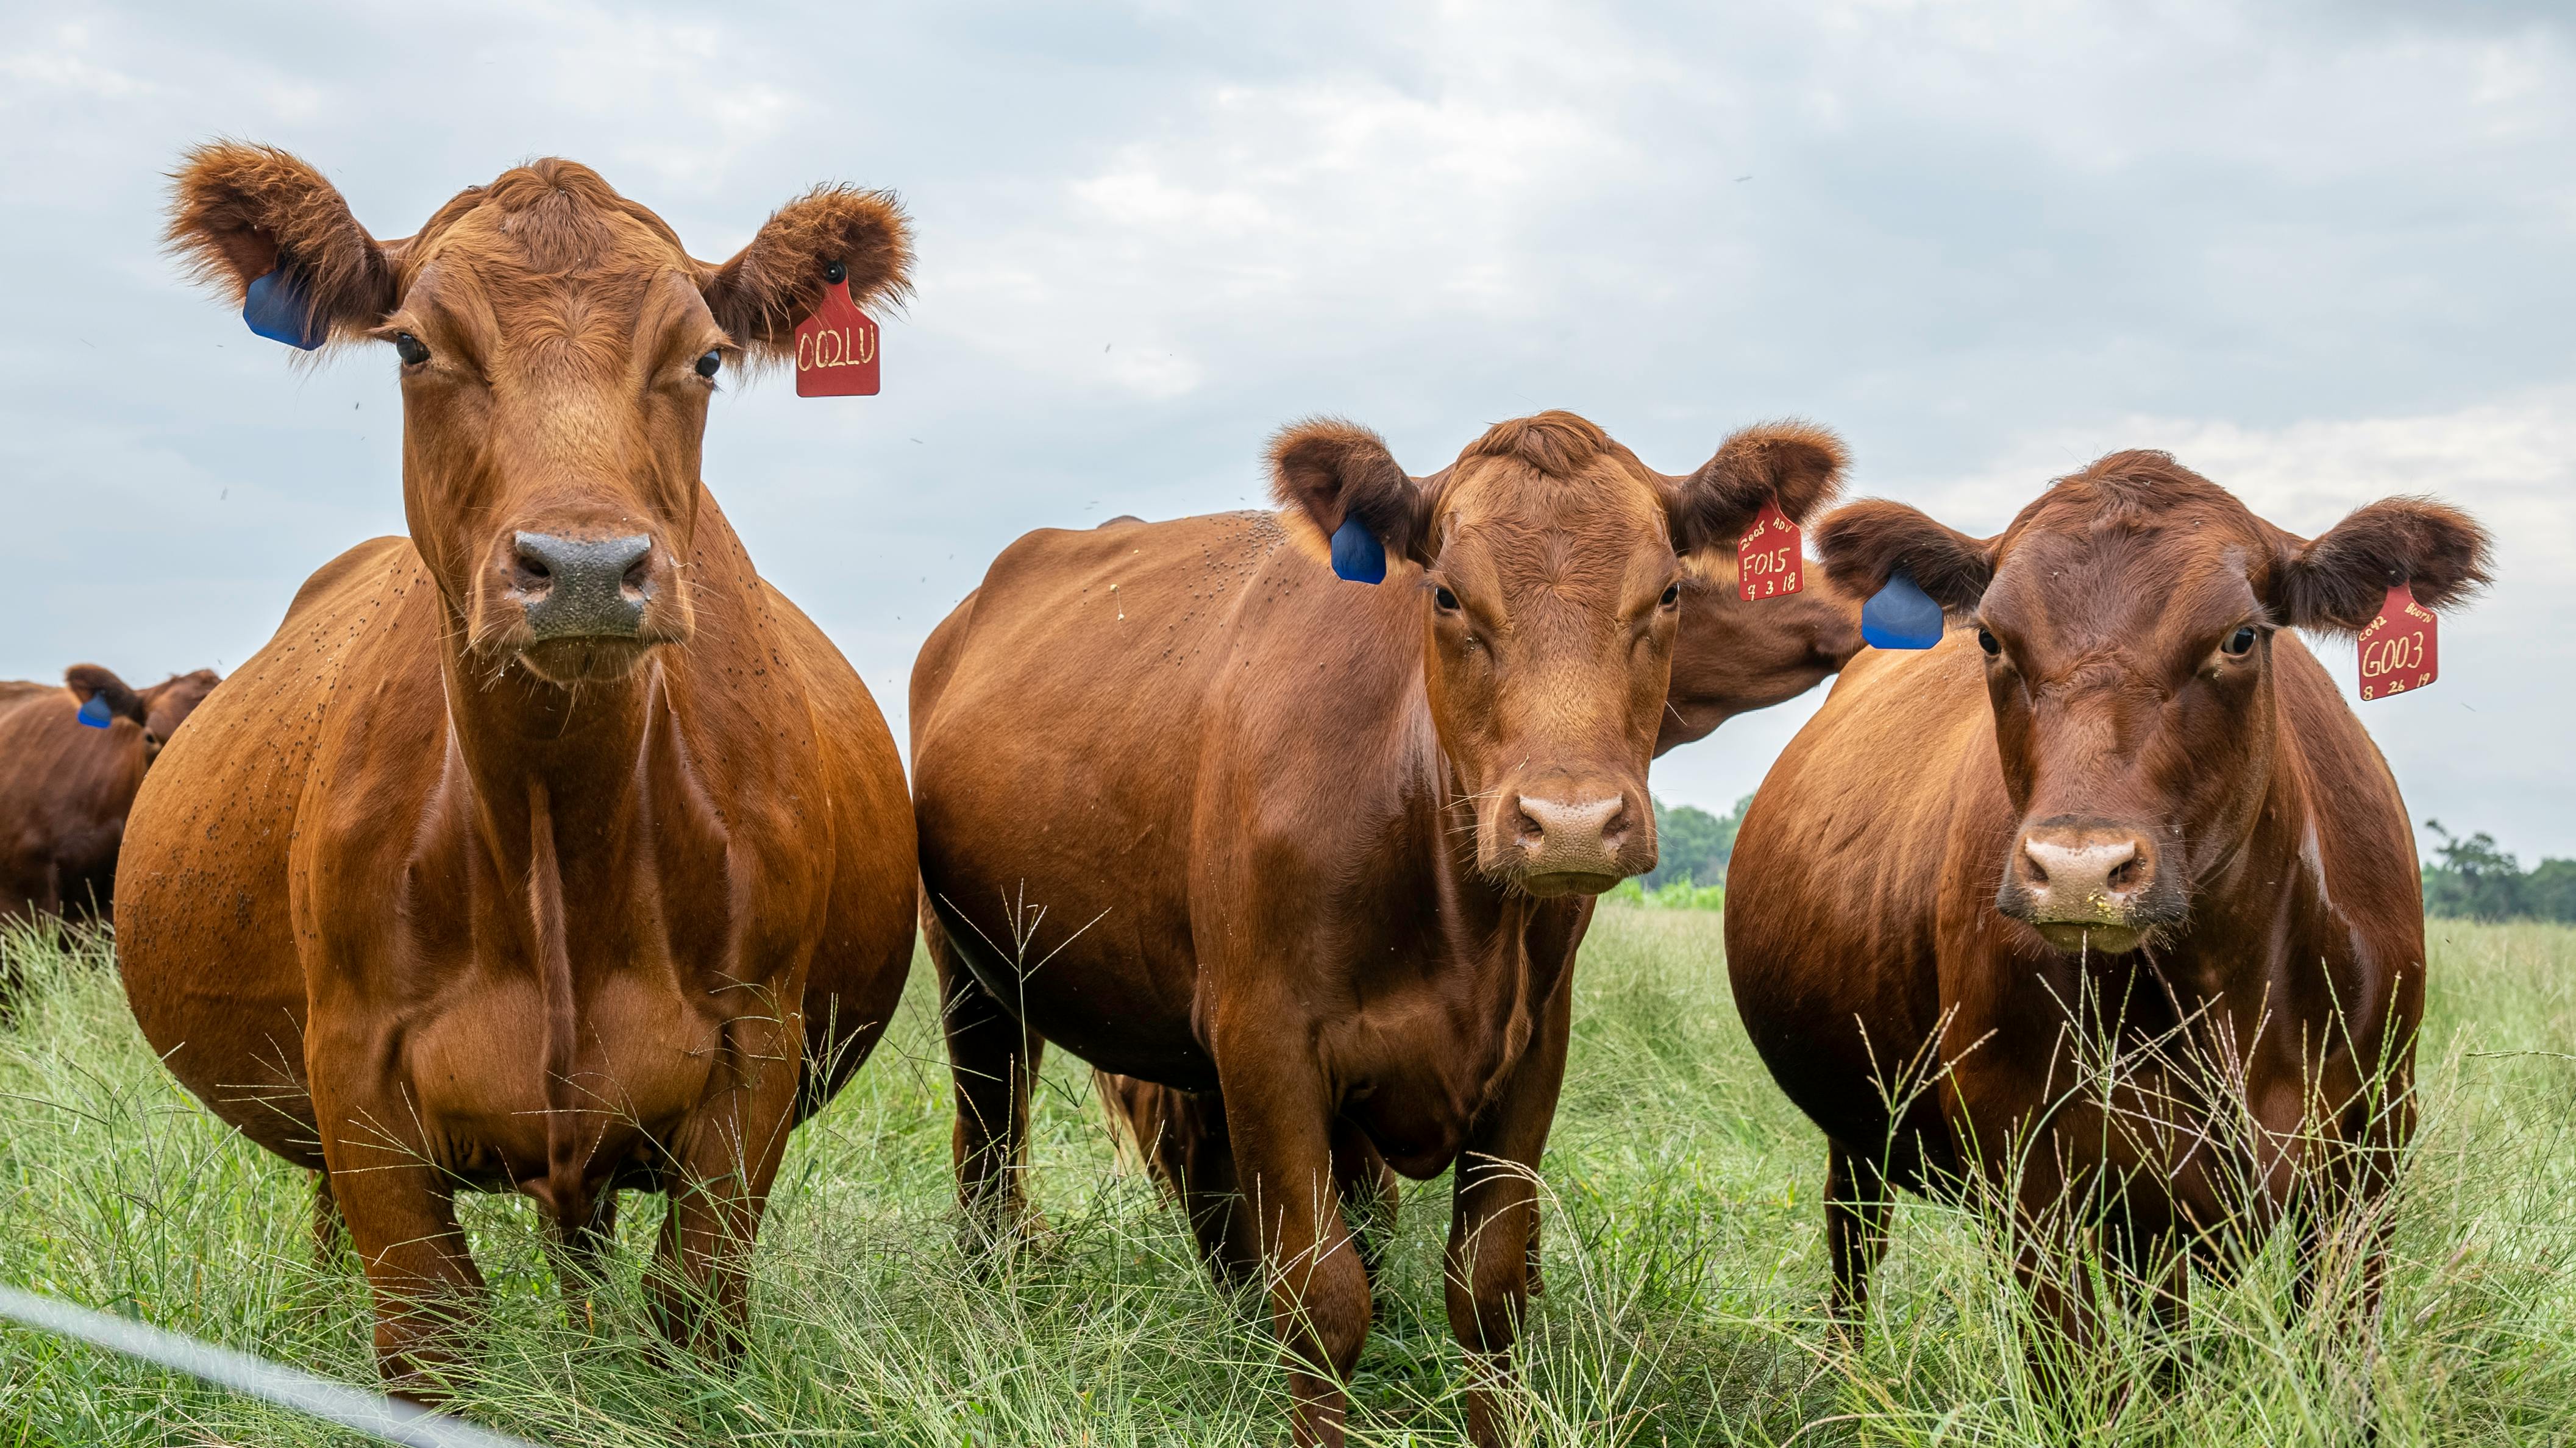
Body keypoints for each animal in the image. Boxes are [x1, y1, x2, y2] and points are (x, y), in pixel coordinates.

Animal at [117, 143, 920, 1392]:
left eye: (704, 356)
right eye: (412, 345)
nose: (586, 568)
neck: (556, 822)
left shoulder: (755, 1055)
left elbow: (694, 1311)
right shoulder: (355, 1071)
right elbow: (430, 1329)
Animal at [910, 410, 1847, 1447]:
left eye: (1670, 590)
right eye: (1445, 594)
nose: (1569, 822)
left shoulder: (1531, 1050)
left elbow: (1486, 1287)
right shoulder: (1268, 1045)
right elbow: (1325, 1298)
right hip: (974, 981)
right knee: (990, 1147)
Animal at [1723, 449, 2490, 1392]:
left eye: (2240, 636)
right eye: (1990, 639)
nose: (2079, 871)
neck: (2220, 994)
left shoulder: (2372, 1151)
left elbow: (2332, 1364)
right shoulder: (2026, 1166)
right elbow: (2078, 1383)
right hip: (1861, 1128)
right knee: (1854, 1245)